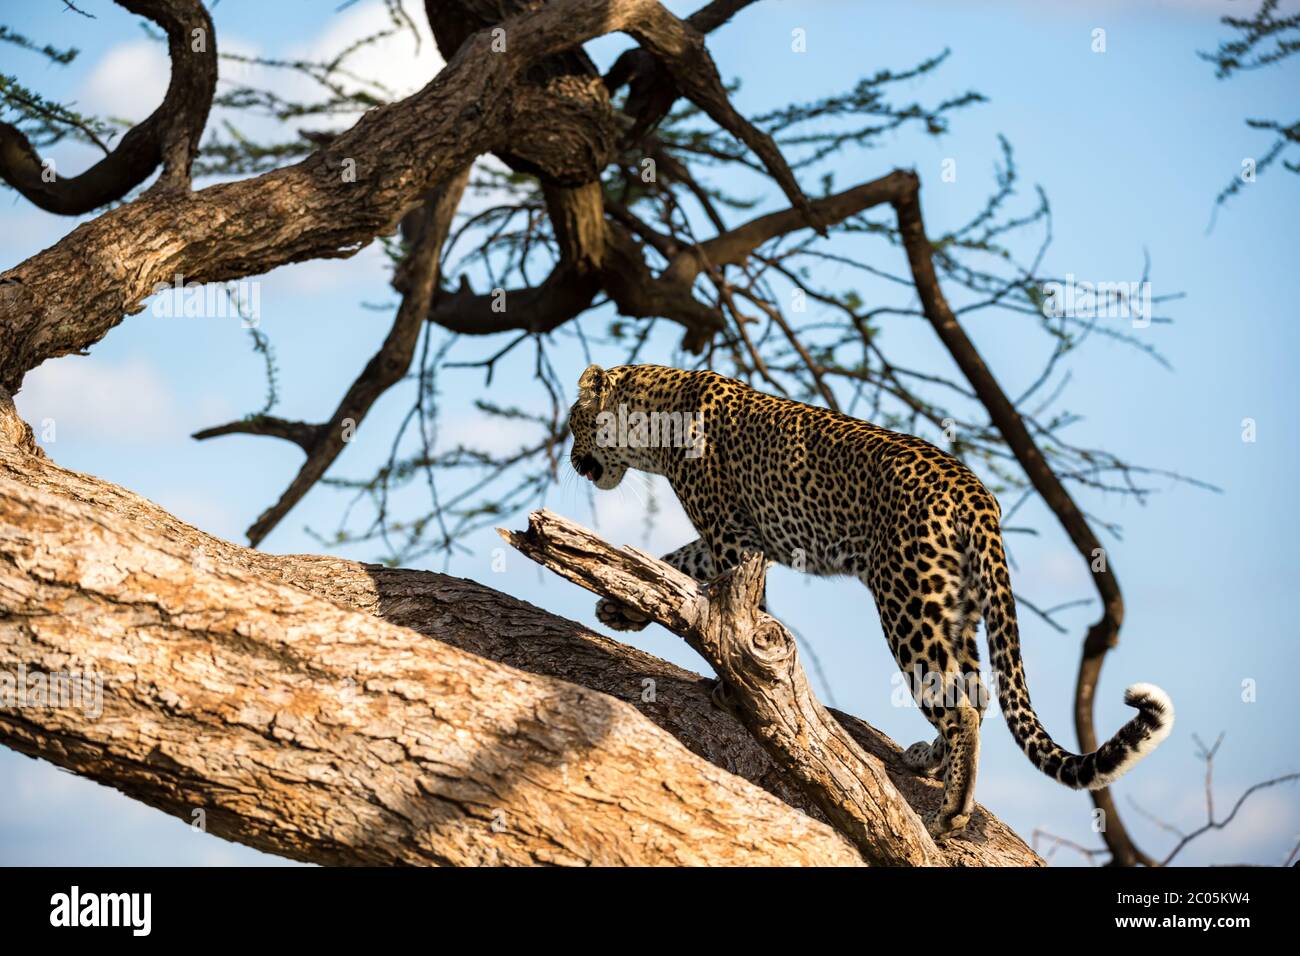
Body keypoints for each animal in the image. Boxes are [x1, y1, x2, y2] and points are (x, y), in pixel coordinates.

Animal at [567, 363, 1174, 839]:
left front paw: (736, 680)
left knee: (959, 704)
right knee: (975, 694)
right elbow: (680, 564)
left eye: (574, 421)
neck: (655, 418)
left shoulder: (733, 537)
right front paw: (621, 607)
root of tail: (976, 493)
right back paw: (930, 763)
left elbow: (736, 606)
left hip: (907, 603)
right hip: (953, 608)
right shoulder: (740, 540)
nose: (573, 461)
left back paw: (953, 813)